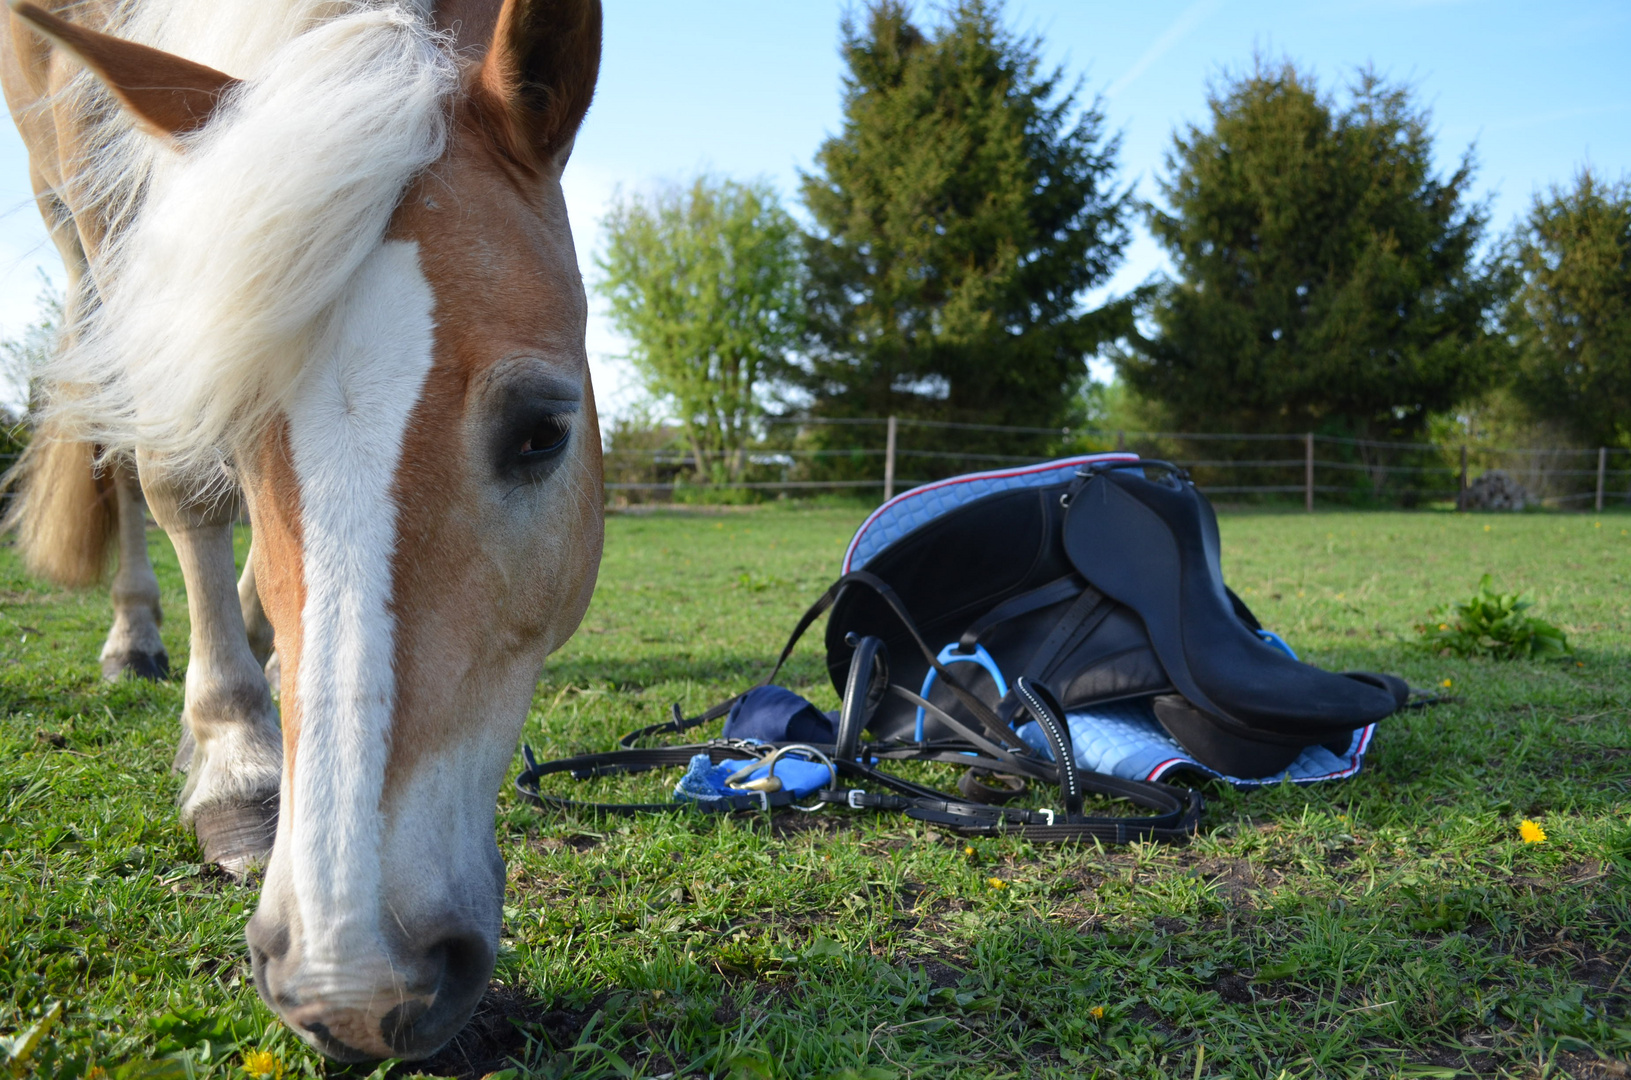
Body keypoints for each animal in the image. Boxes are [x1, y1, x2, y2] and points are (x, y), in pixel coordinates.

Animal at [1, 0, 604, 1060]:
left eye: (544, 430)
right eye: (236, 436)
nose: (349, 980)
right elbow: (171, 468)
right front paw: (238, 768)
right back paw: (142, 641)